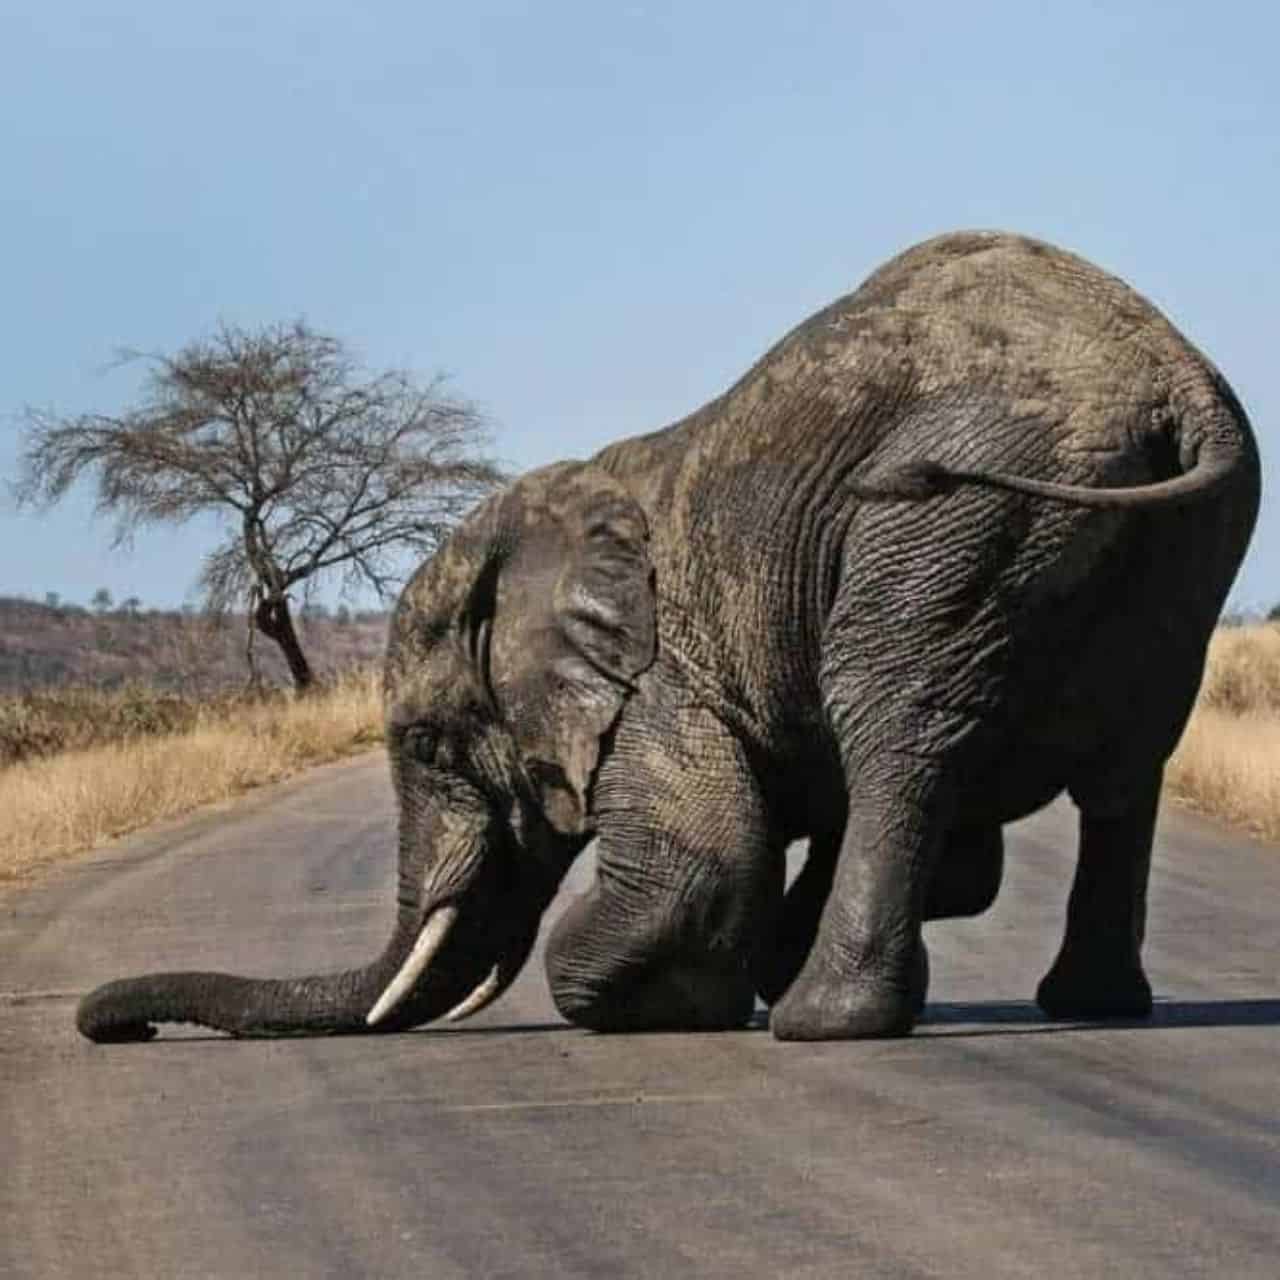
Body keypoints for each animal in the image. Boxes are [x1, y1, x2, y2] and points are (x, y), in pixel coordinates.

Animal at [77, 230, 1259, 1044]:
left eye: (424, 743)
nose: (119, 1027)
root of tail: (1174, 388)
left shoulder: (655, 683)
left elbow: (696, 871)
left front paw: (691, 994)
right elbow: (951, 863)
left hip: (955, 512)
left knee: (897, 730)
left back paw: (821, 1023)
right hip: (1177, 543)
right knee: (1123, 772)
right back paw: (1093, 1002)